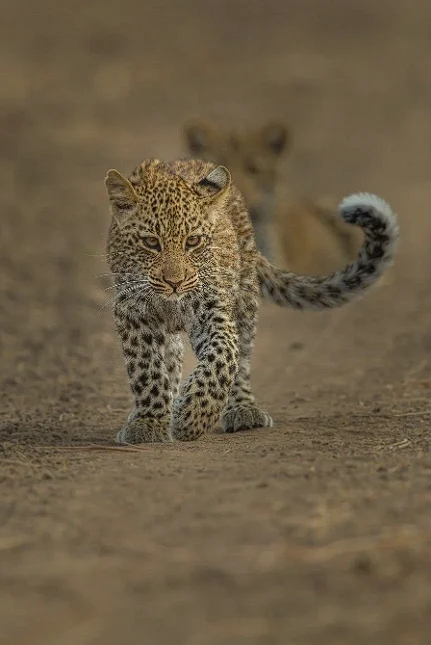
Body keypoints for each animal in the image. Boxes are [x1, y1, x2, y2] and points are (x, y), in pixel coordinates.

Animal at [104, 157, 398, 444]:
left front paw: (191, 416)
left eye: (193, 241)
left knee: (242, 356)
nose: (175, 282)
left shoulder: (211, 311)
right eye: (151, 242)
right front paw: (149, 422)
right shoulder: (133, 312)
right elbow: (146, 368)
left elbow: (223, 357)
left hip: (244, 298)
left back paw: (243, 409)